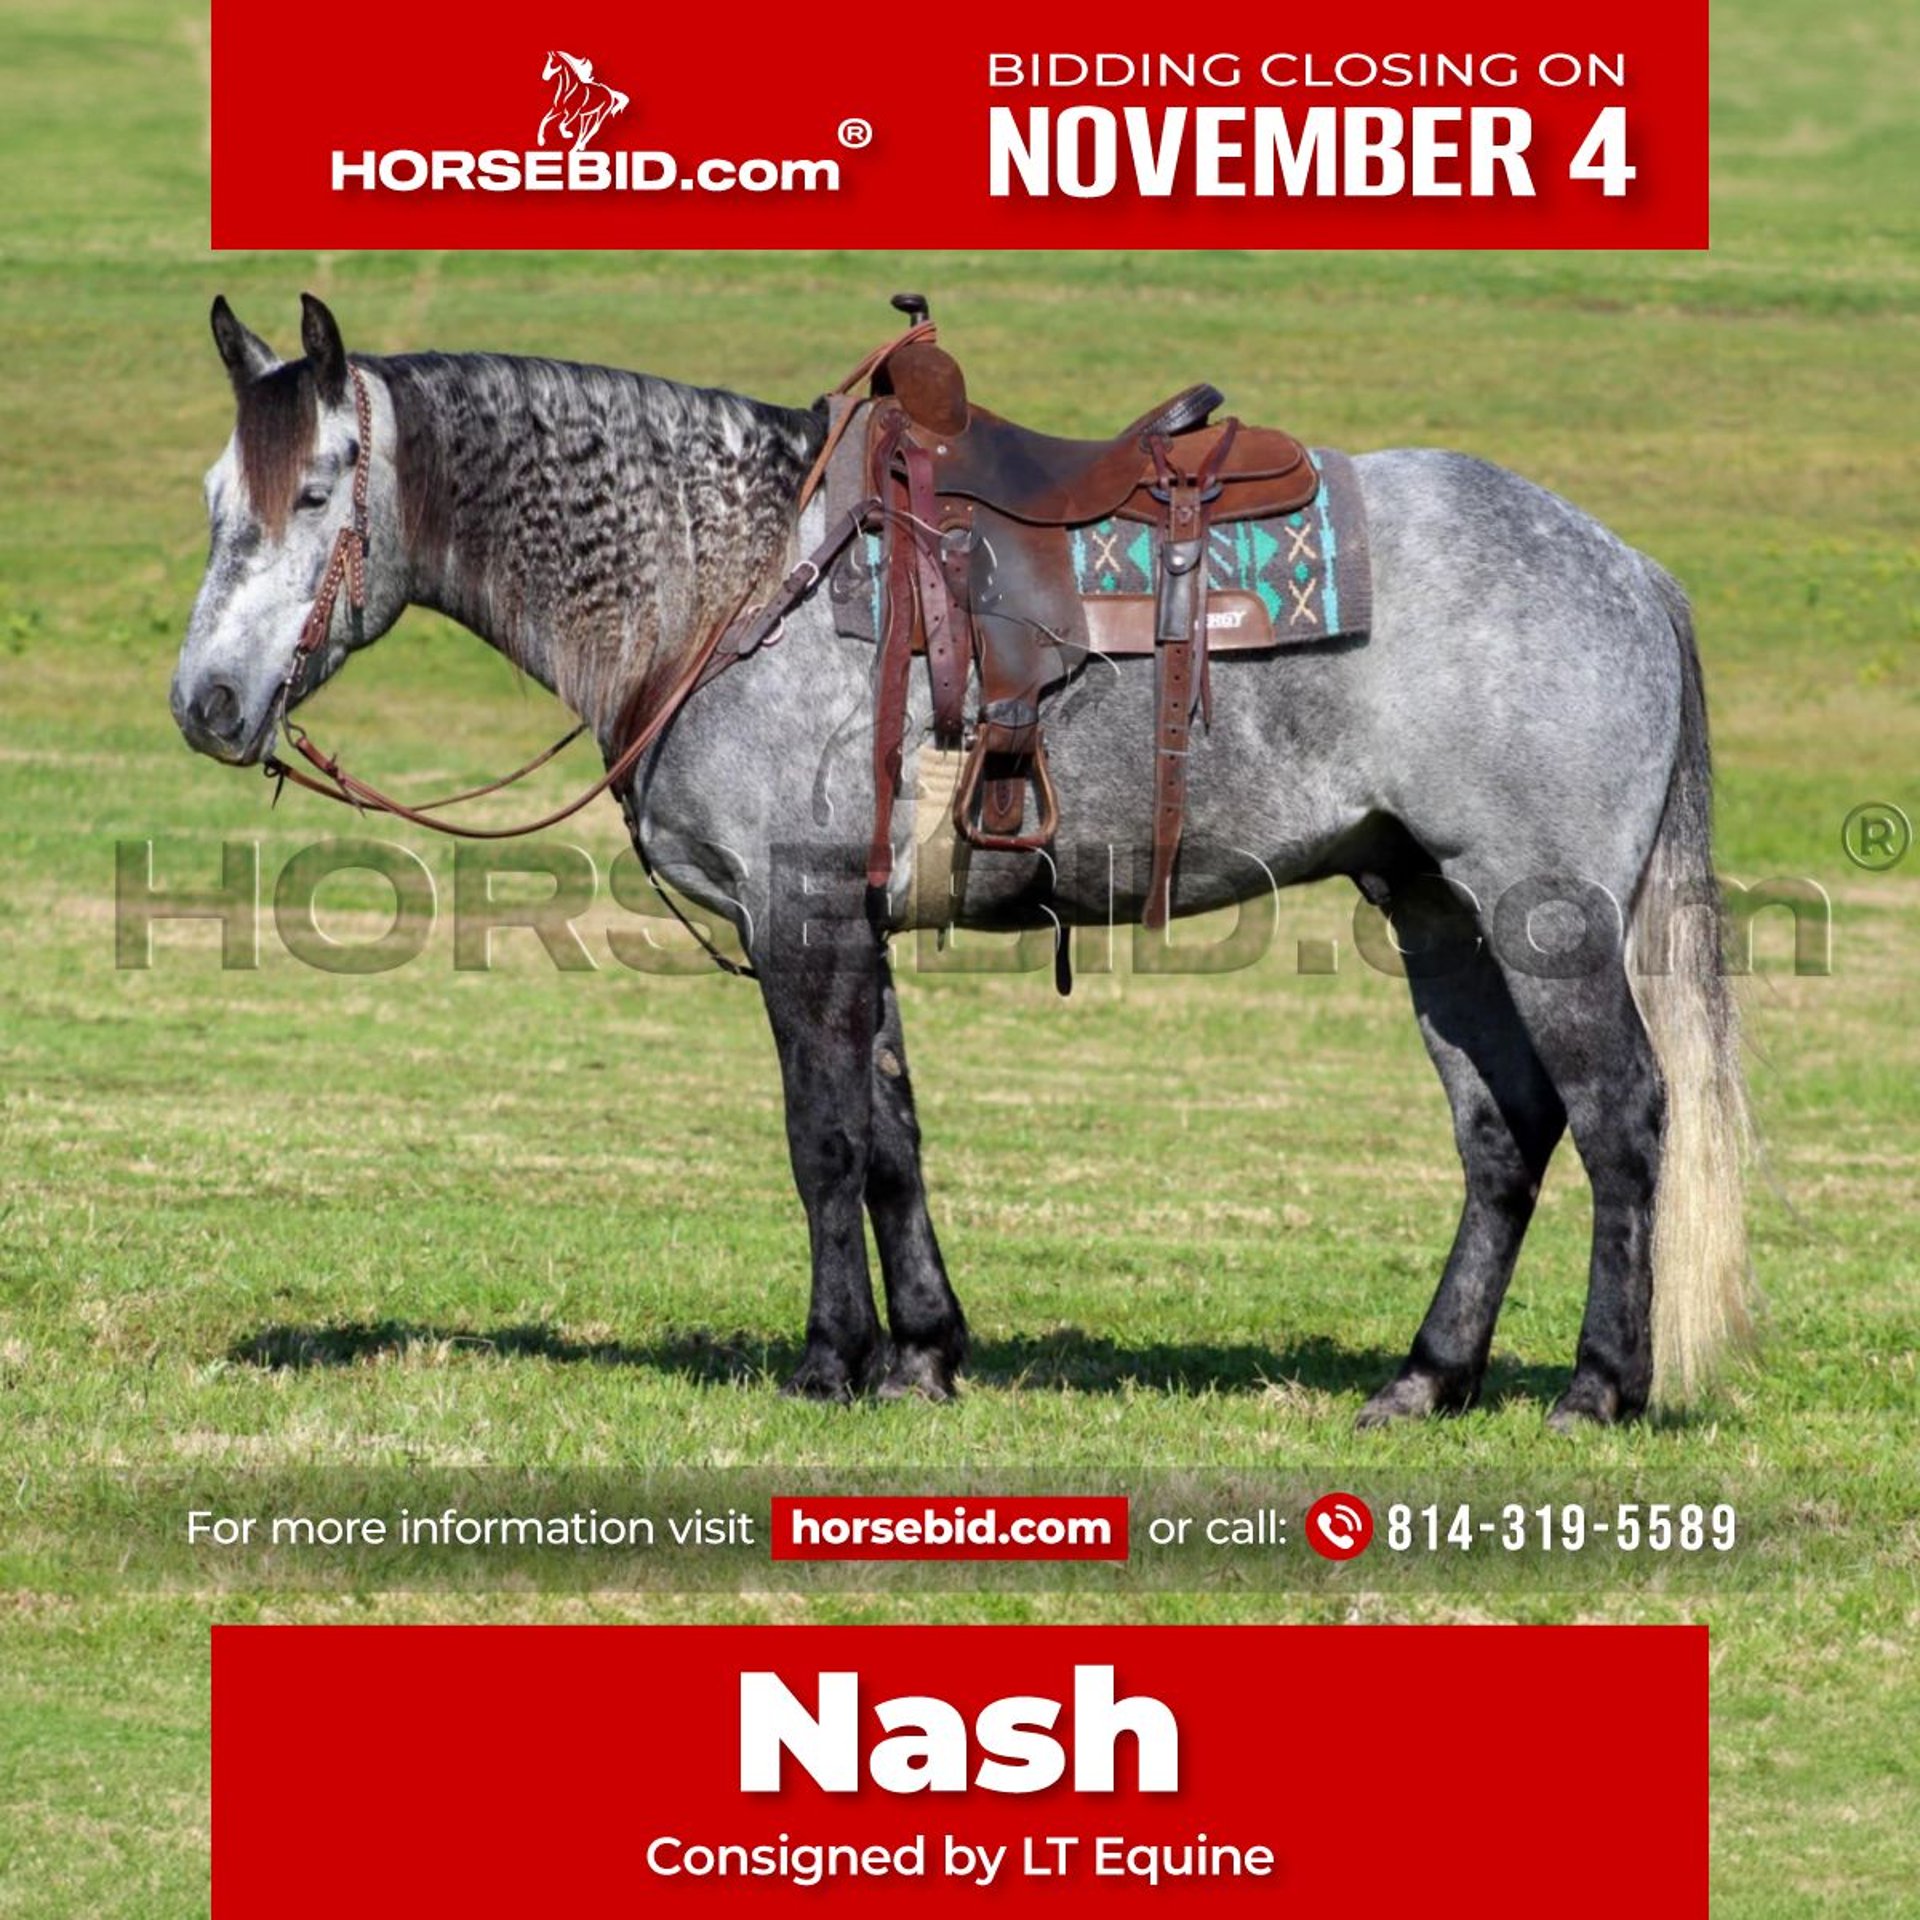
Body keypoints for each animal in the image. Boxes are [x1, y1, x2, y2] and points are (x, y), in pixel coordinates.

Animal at [171, 294, 1752, 1428]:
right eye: (215, 501)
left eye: (313, 493)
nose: (208, 705)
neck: (732, 574)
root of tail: (1626, 568)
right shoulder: (854, 927)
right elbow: (893, 1137)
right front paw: (924, 1354)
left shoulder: (800, 915)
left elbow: (821, 1139)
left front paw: (829, 1363)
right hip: (1431, 905)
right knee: (1504, 1133)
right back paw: (1426, 1379)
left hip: (1541, 915)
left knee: (1622, 1117)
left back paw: (1598, 1389)